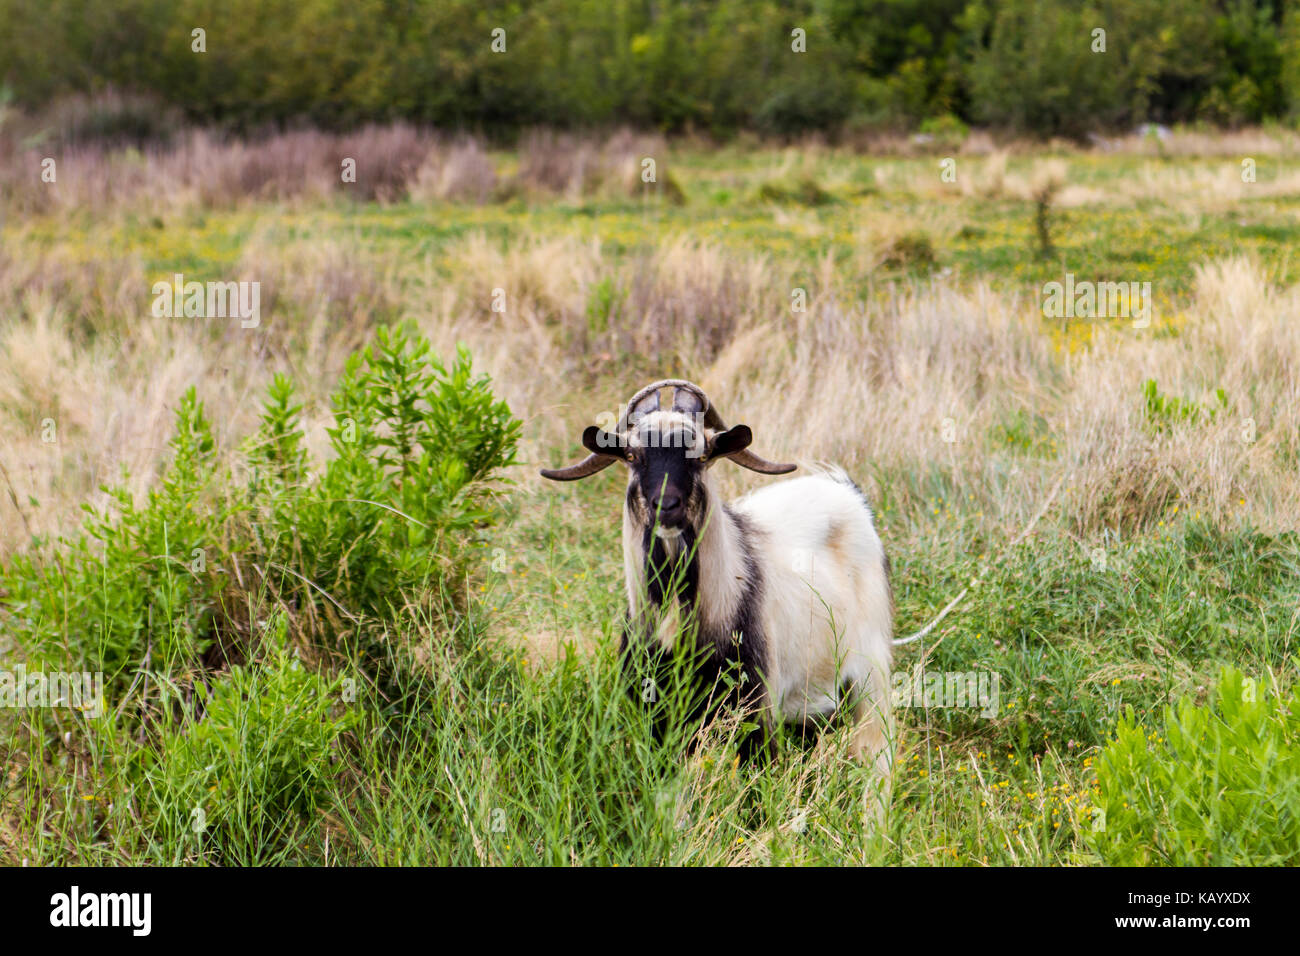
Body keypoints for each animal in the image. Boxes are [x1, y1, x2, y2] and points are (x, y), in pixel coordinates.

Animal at [541, 380, 893, 796]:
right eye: (631, 454)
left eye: (701, 454)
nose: (666, 506)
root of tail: (849, 493)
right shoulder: (657, 720)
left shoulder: (756, 711)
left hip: (871, 679)